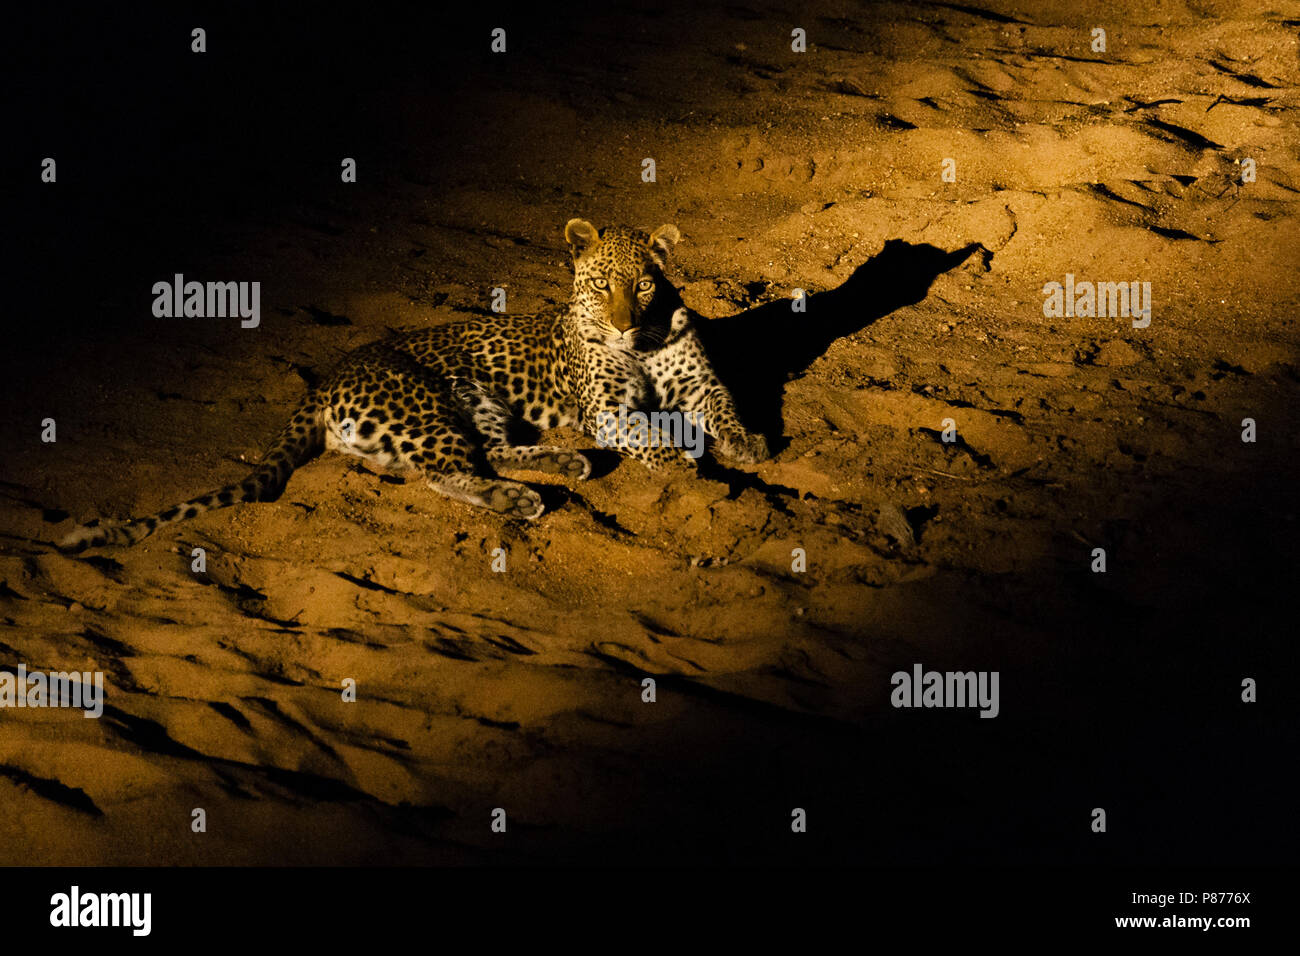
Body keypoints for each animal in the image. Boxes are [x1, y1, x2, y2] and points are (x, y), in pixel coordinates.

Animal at [58, 218, 770, 553]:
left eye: (644, 284)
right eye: (600, 286)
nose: (622, 325)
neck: (643, 342)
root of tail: (325, 379)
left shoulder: (700, 387)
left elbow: (728, 409)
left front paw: (749, 445)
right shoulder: (610, 412)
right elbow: (652, 440)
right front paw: (687, 470)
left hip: (475, 402)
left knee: (493, 453)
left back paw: (565, 464)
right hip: (428, 408)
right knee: (445, 474)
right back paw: (526, 499)